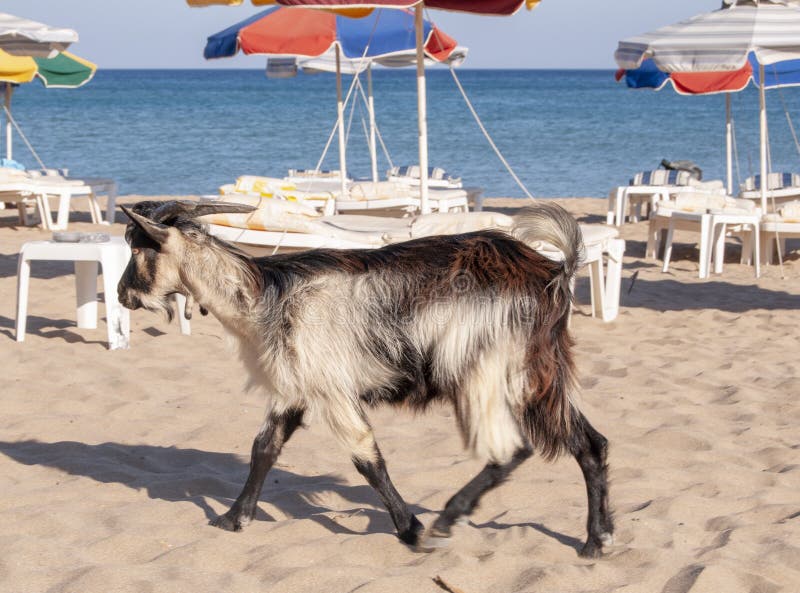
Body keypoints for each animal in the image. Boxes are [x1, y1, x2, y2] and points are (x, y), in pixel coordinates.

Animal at [117, 200, 613, 557]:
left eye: (138, 249)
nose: (122, 294)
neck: (265, 296)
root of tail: (553, 273)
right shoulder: (297, 385)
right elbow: (264, 448)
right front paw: (233, 518)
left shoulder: (330, 387)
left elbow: (368, 461)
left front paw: (410, 529)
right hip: (539, 374)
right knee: (589, 443)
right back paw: (597, 539)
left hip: (484, 369)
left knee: (510, 449)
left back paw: (444, 522)